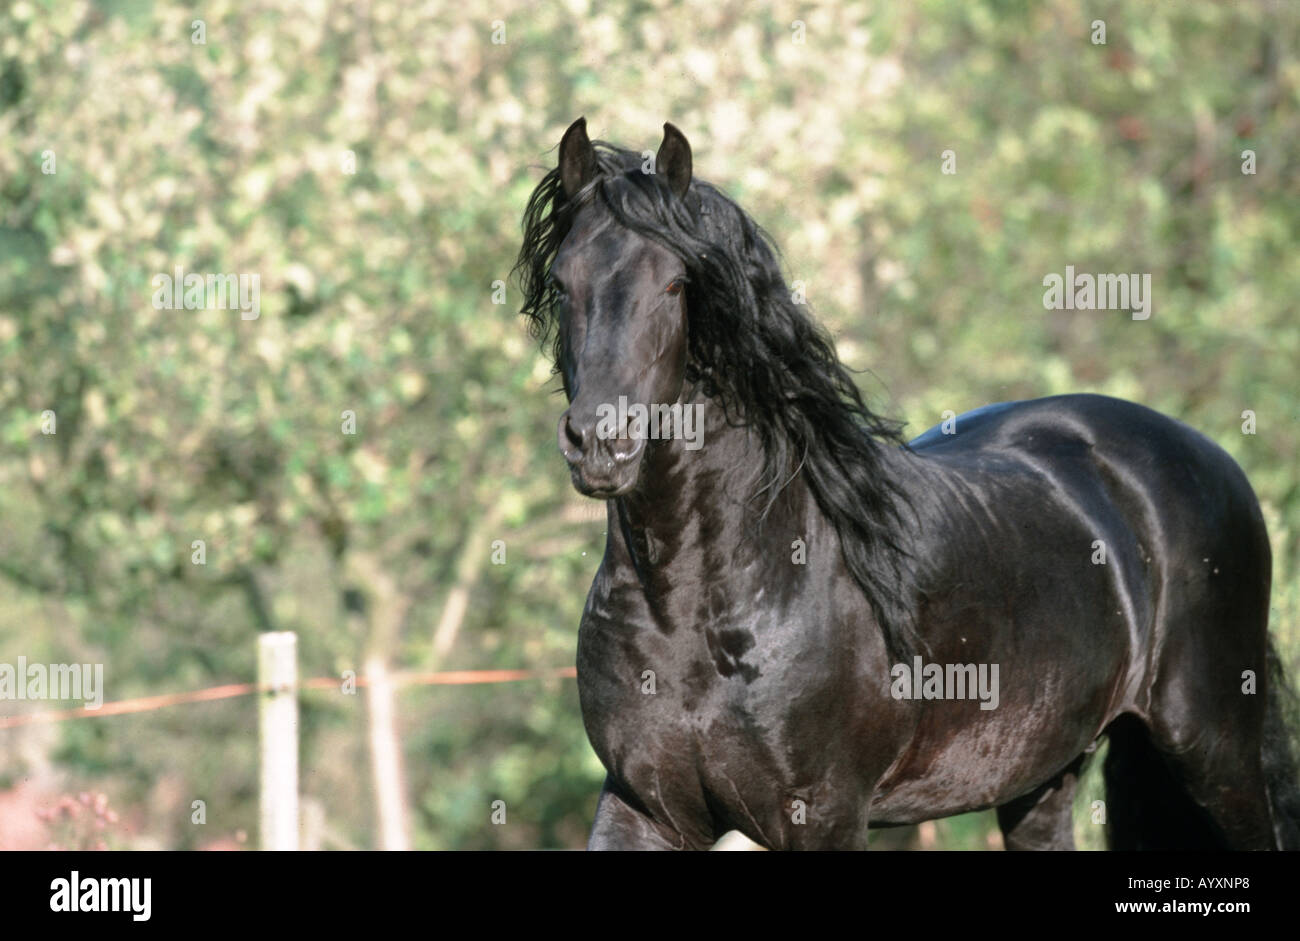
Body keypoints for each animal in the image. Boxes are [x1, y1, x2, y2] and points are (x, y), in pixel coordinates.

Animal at [513, 117, 1300, 850]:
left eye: (677, 282)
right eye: (563, 282)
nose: (600, 442)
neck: (693, 606)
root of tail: (1208, 459)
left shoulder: (827, 816)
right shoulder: (642, 808)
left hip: (1214, 756)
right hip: (1043, 775)